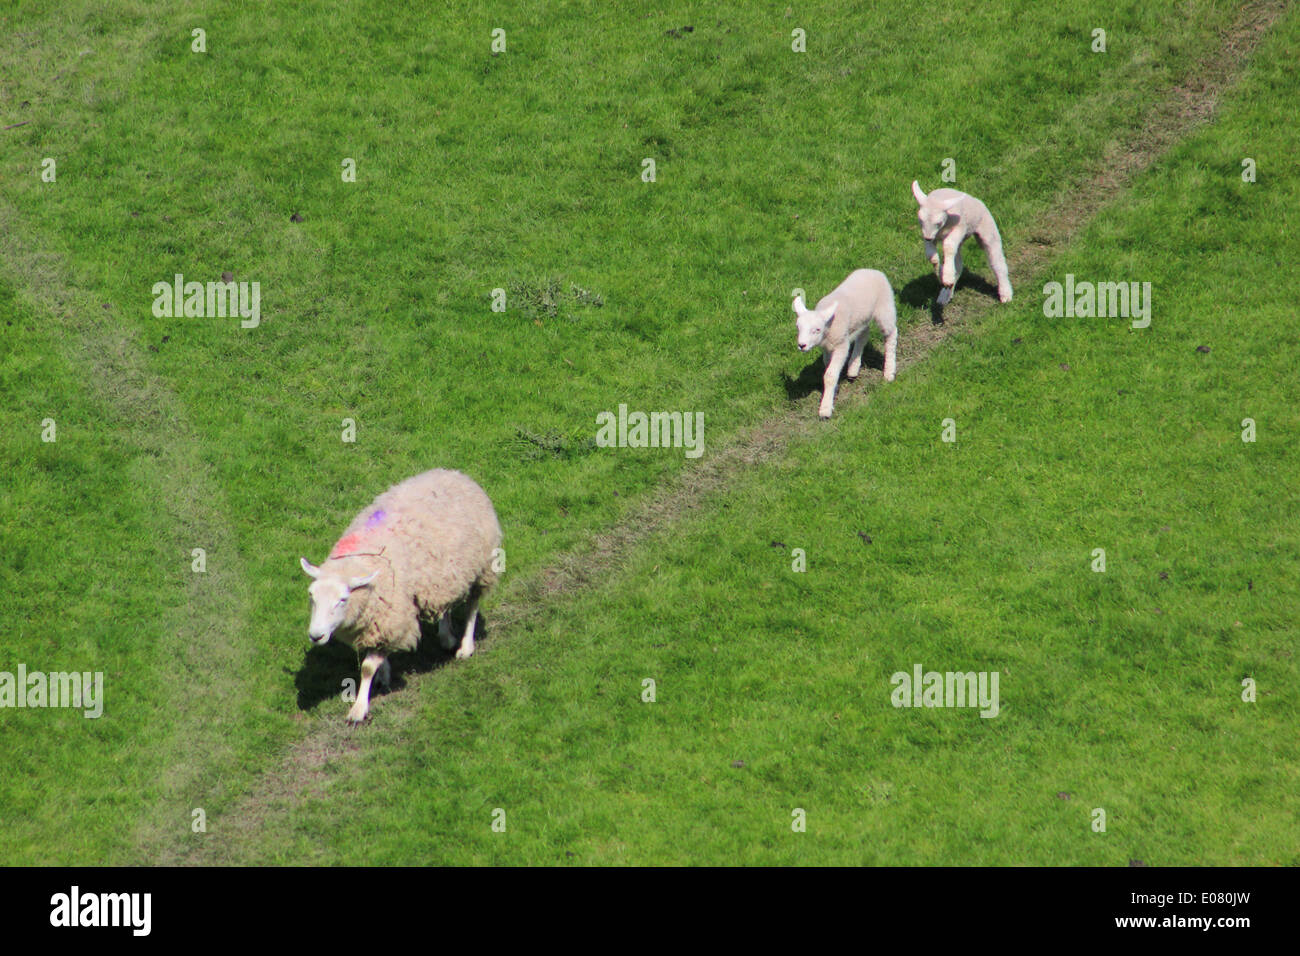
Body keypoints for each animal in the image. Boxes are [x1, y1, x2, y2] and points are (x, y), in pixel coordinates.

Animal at [299, 468, 503, 724]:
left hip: (483, 566)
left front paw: (359, 709)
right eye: (311, 596)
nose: (315, 636)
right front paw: (384, 674)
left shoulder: (391, 614)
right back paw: (446, 636)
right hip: (443, 576)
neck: (361, 560)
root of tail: (453, 473)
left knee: (473, 606)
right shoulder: (381, 617)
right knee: (444, 603)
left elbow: (367, 667)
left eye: (343, 600)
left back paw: (465, 646)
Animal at [794, 268, 898, 419]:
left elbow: (830, 375)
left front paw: (825, 409)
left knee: (891, 333)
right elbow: (828, 367)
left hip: (885, 307)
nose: (802, 345)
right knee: (864, 333)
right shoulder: (827, 348)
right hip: (861, 318)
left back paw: (889, 371)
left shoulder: (841, 344)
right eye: (798, 327)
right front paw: (833, 390)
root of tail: (873, 270)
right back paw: (853, 368)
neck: (828, 329)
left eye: (817, 329)